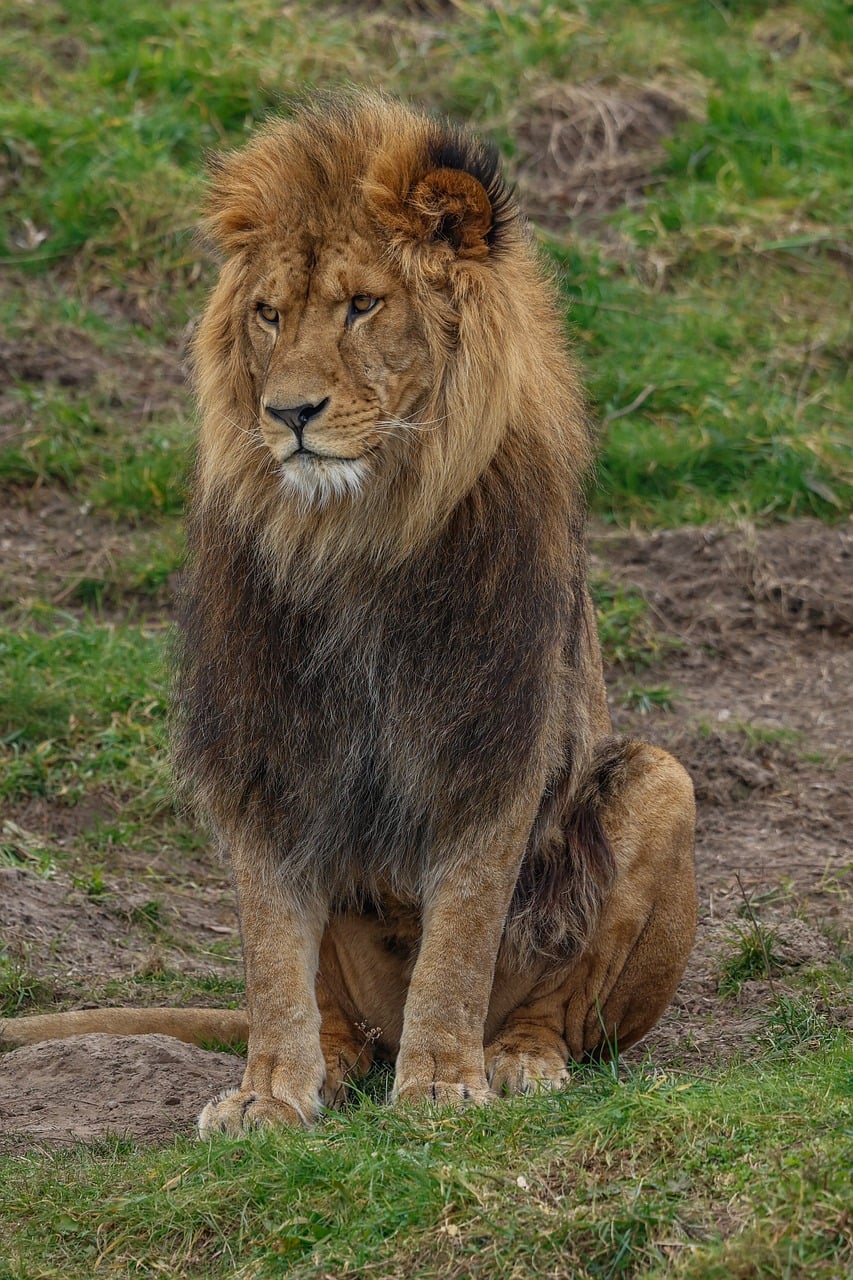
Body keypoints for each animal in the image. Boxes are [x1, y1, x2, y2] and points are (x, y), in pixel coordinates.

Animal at [1, 93, 696, 1134]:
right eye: (268, 314)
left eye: (362, 305)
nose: (289, 412)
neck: (356, 535)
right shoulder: (263, 744)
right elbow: (270, 949)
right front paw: (267, 1094)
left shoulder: (489, 736)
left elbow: (459, 938)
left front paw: (444, 1083)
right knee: (335, 1014)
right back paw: (329, 1061)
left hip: (662, 786)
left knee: (561, 1013)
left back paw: (515, 1060)